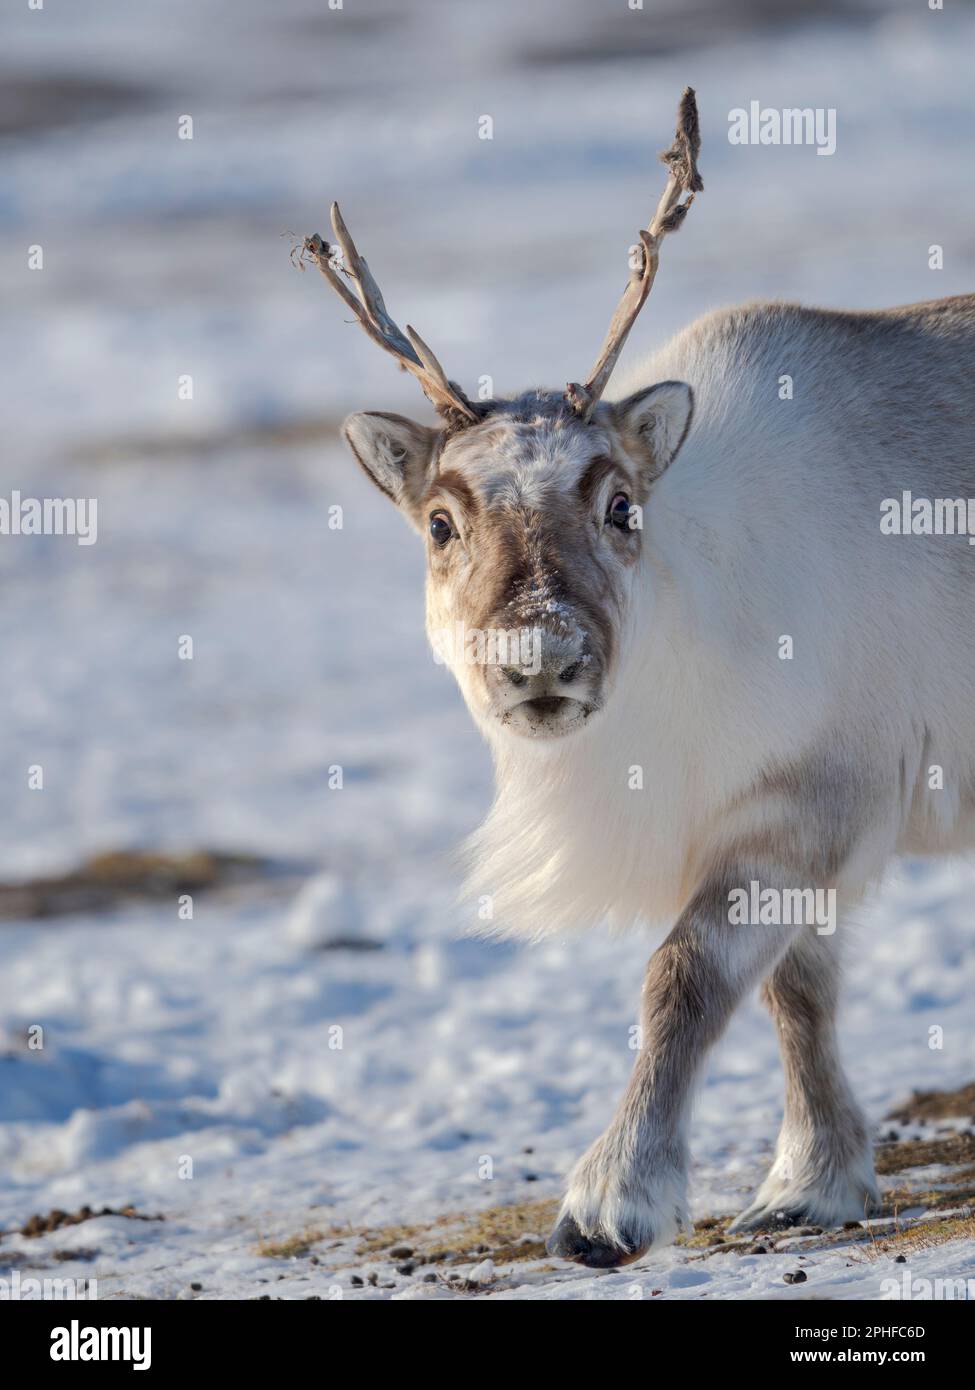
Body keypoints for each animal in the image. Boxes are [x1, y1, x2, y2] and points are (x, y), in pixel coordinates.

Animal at [296, 89, 975, 1268]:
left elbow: (684, 979)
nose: (540, 655)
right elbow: (799, 995)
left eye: (620, 505)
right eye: (439, 523)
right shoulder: (773, 819)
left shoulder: (805, 802)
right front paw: (814, 1182)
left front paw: (610, 1202)